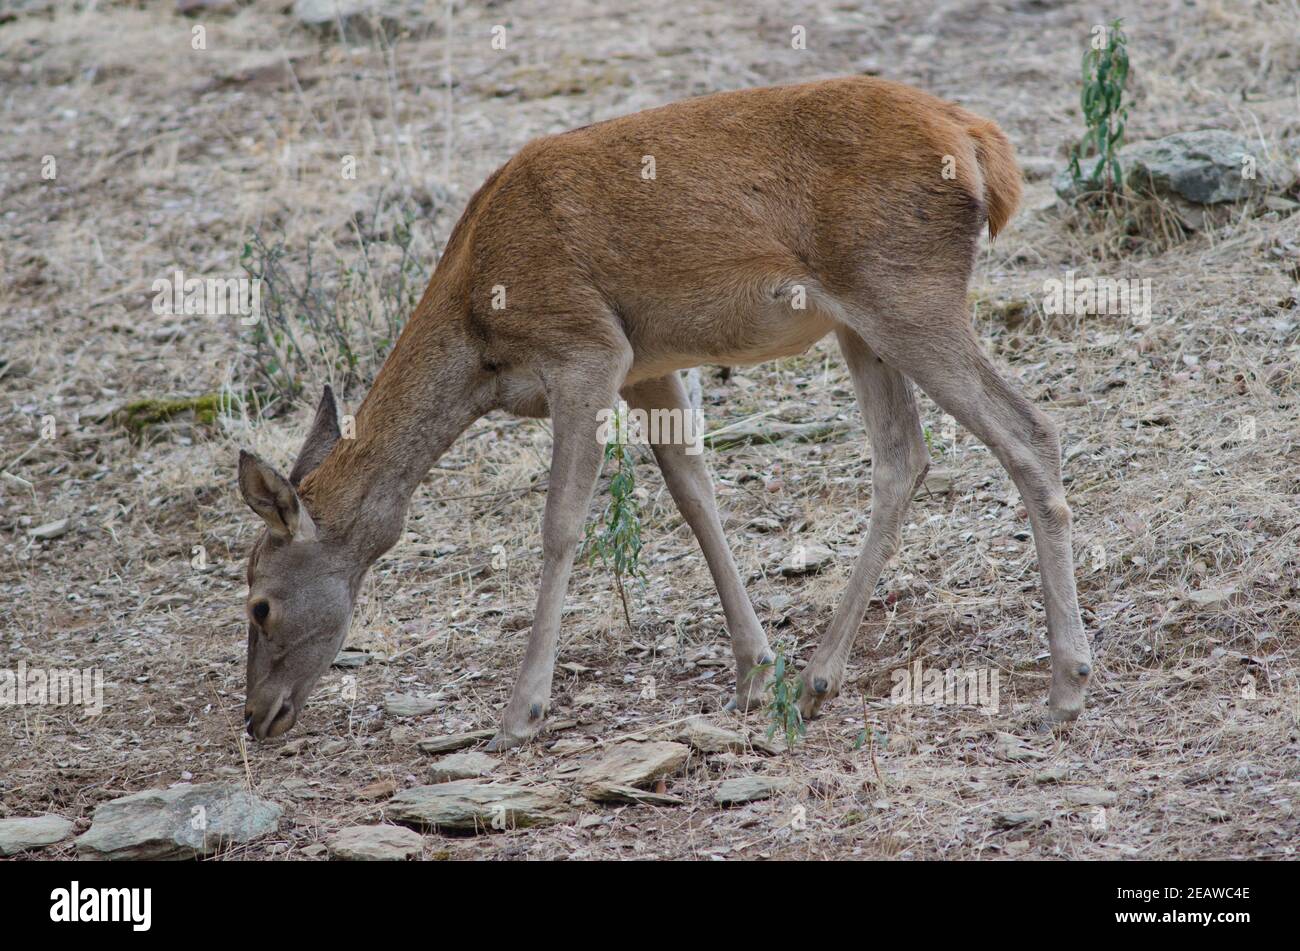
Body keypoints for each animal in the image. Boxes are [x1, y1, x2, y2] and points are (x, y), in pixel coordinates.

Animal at [237, 75, 1092, 749]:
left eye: (259, 604)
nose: (257, 716)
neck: (479, 331)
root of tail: (983, 146)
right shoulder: (647, 366)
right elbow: (693, 493)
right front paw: (755, 670)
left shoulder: (584, 348)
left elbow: (561, 523)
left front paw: (519, 713)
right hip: (864, 321)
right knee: (902, 457)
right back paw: (817, 677)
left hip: (907, 292)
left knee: (1031, 431)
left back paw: (1066, 685)